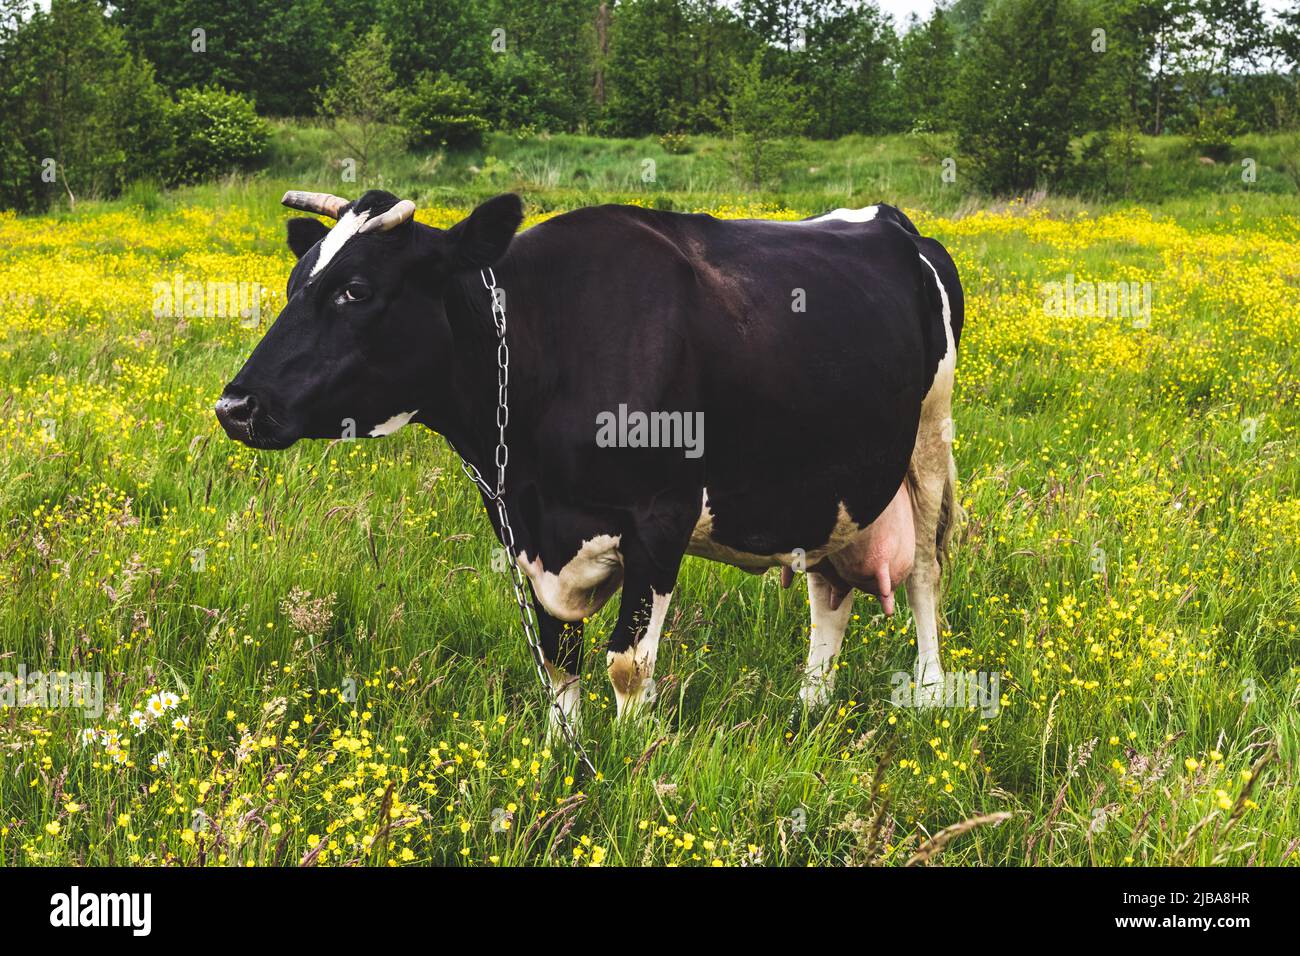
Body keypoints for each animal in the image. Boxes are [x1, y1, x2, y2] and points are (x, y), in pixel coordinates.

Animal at [216, 189, 964, 732]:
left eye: (356, 289)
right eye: (295, 284)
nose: (235, 406)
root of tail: (891, 220)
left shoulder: (663, 514)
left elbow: (627, 665)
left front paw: (631, 769)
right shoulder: (522, 530)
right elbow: (556, 660)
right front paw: (562, 758)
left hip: (929, 439)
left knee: (926, 572)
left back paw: (930, 694)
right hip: (828, 483)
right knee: (829, 589)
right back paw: (810, 705)